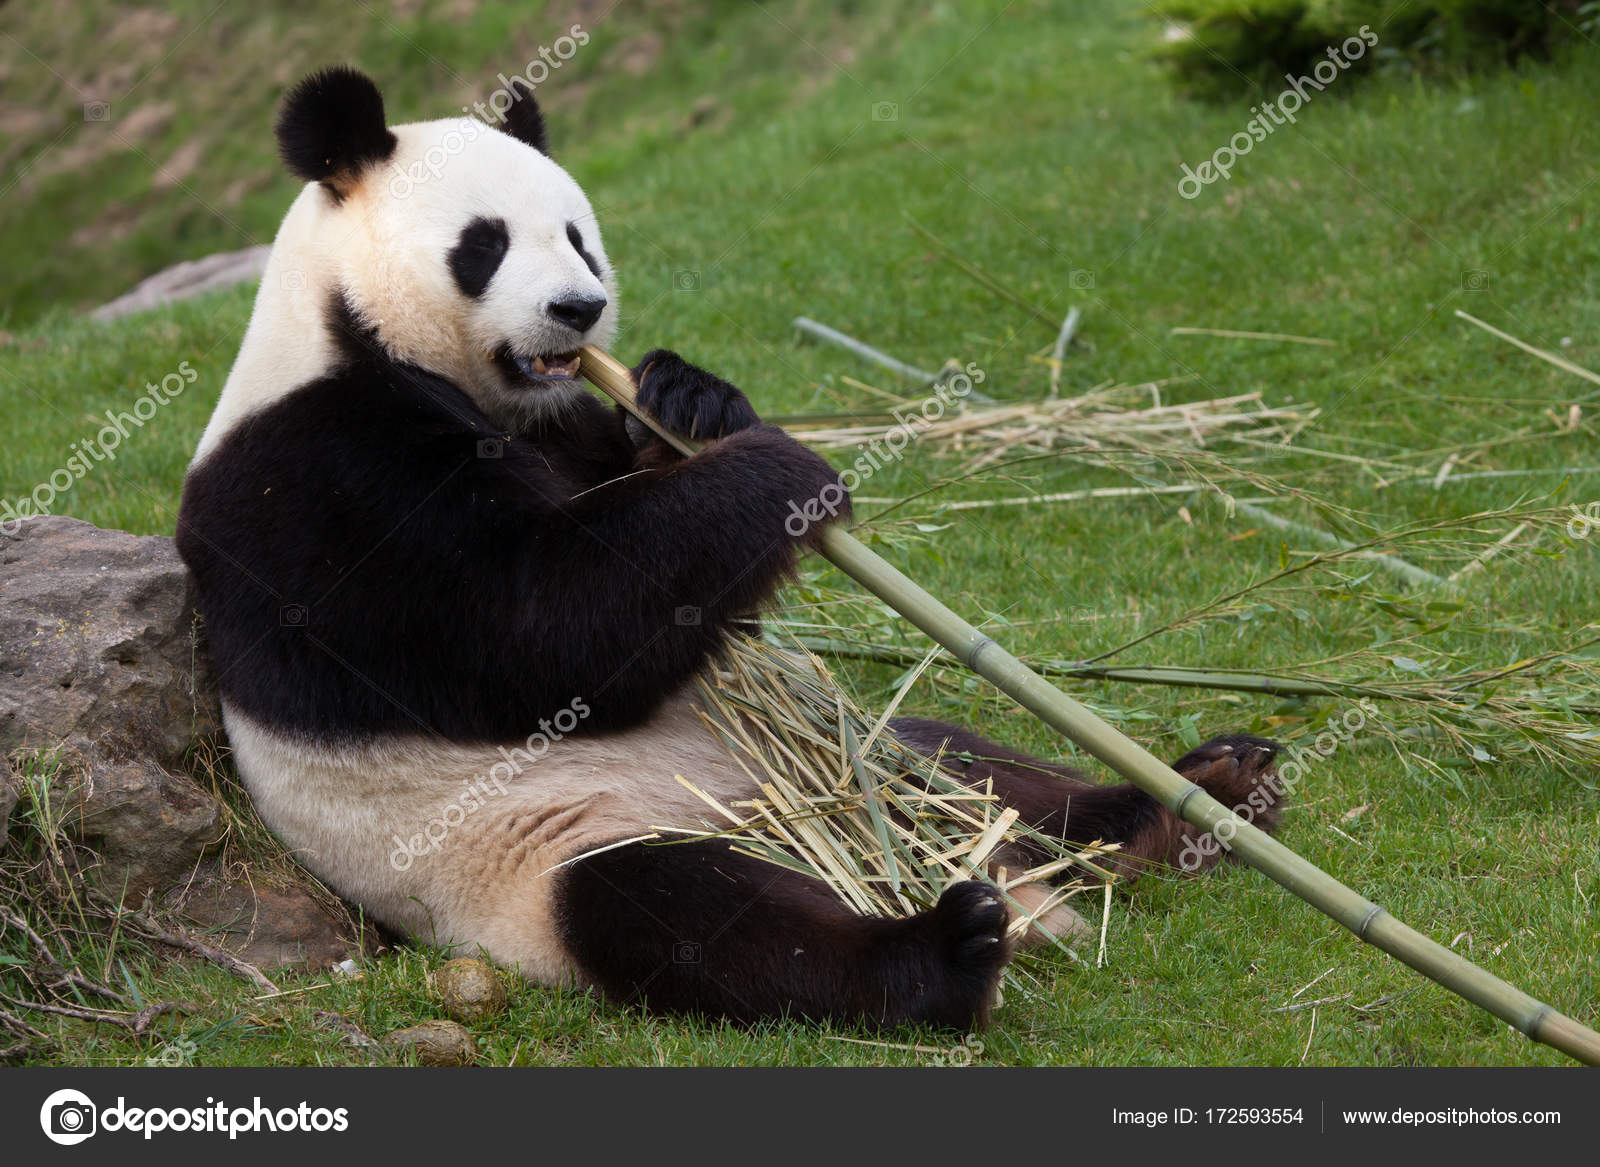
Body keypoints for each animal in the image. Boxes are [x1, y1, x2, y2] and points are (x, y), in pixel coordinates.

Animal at [177, 66, 1283, 1031]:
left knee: (961, 765)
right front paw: (777, 467)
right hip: (535, 853)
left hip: (850, 746)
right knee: (694, 915)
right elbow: (532, 632)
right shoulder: (320, 481)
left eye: (578, 237)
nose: (579, 309)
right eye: (483, 244)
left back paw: (1201, 799)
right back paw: (947, 953)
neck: (351, 331)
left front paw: (692, 397)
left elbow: (629, 504)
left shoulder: (553, 425)